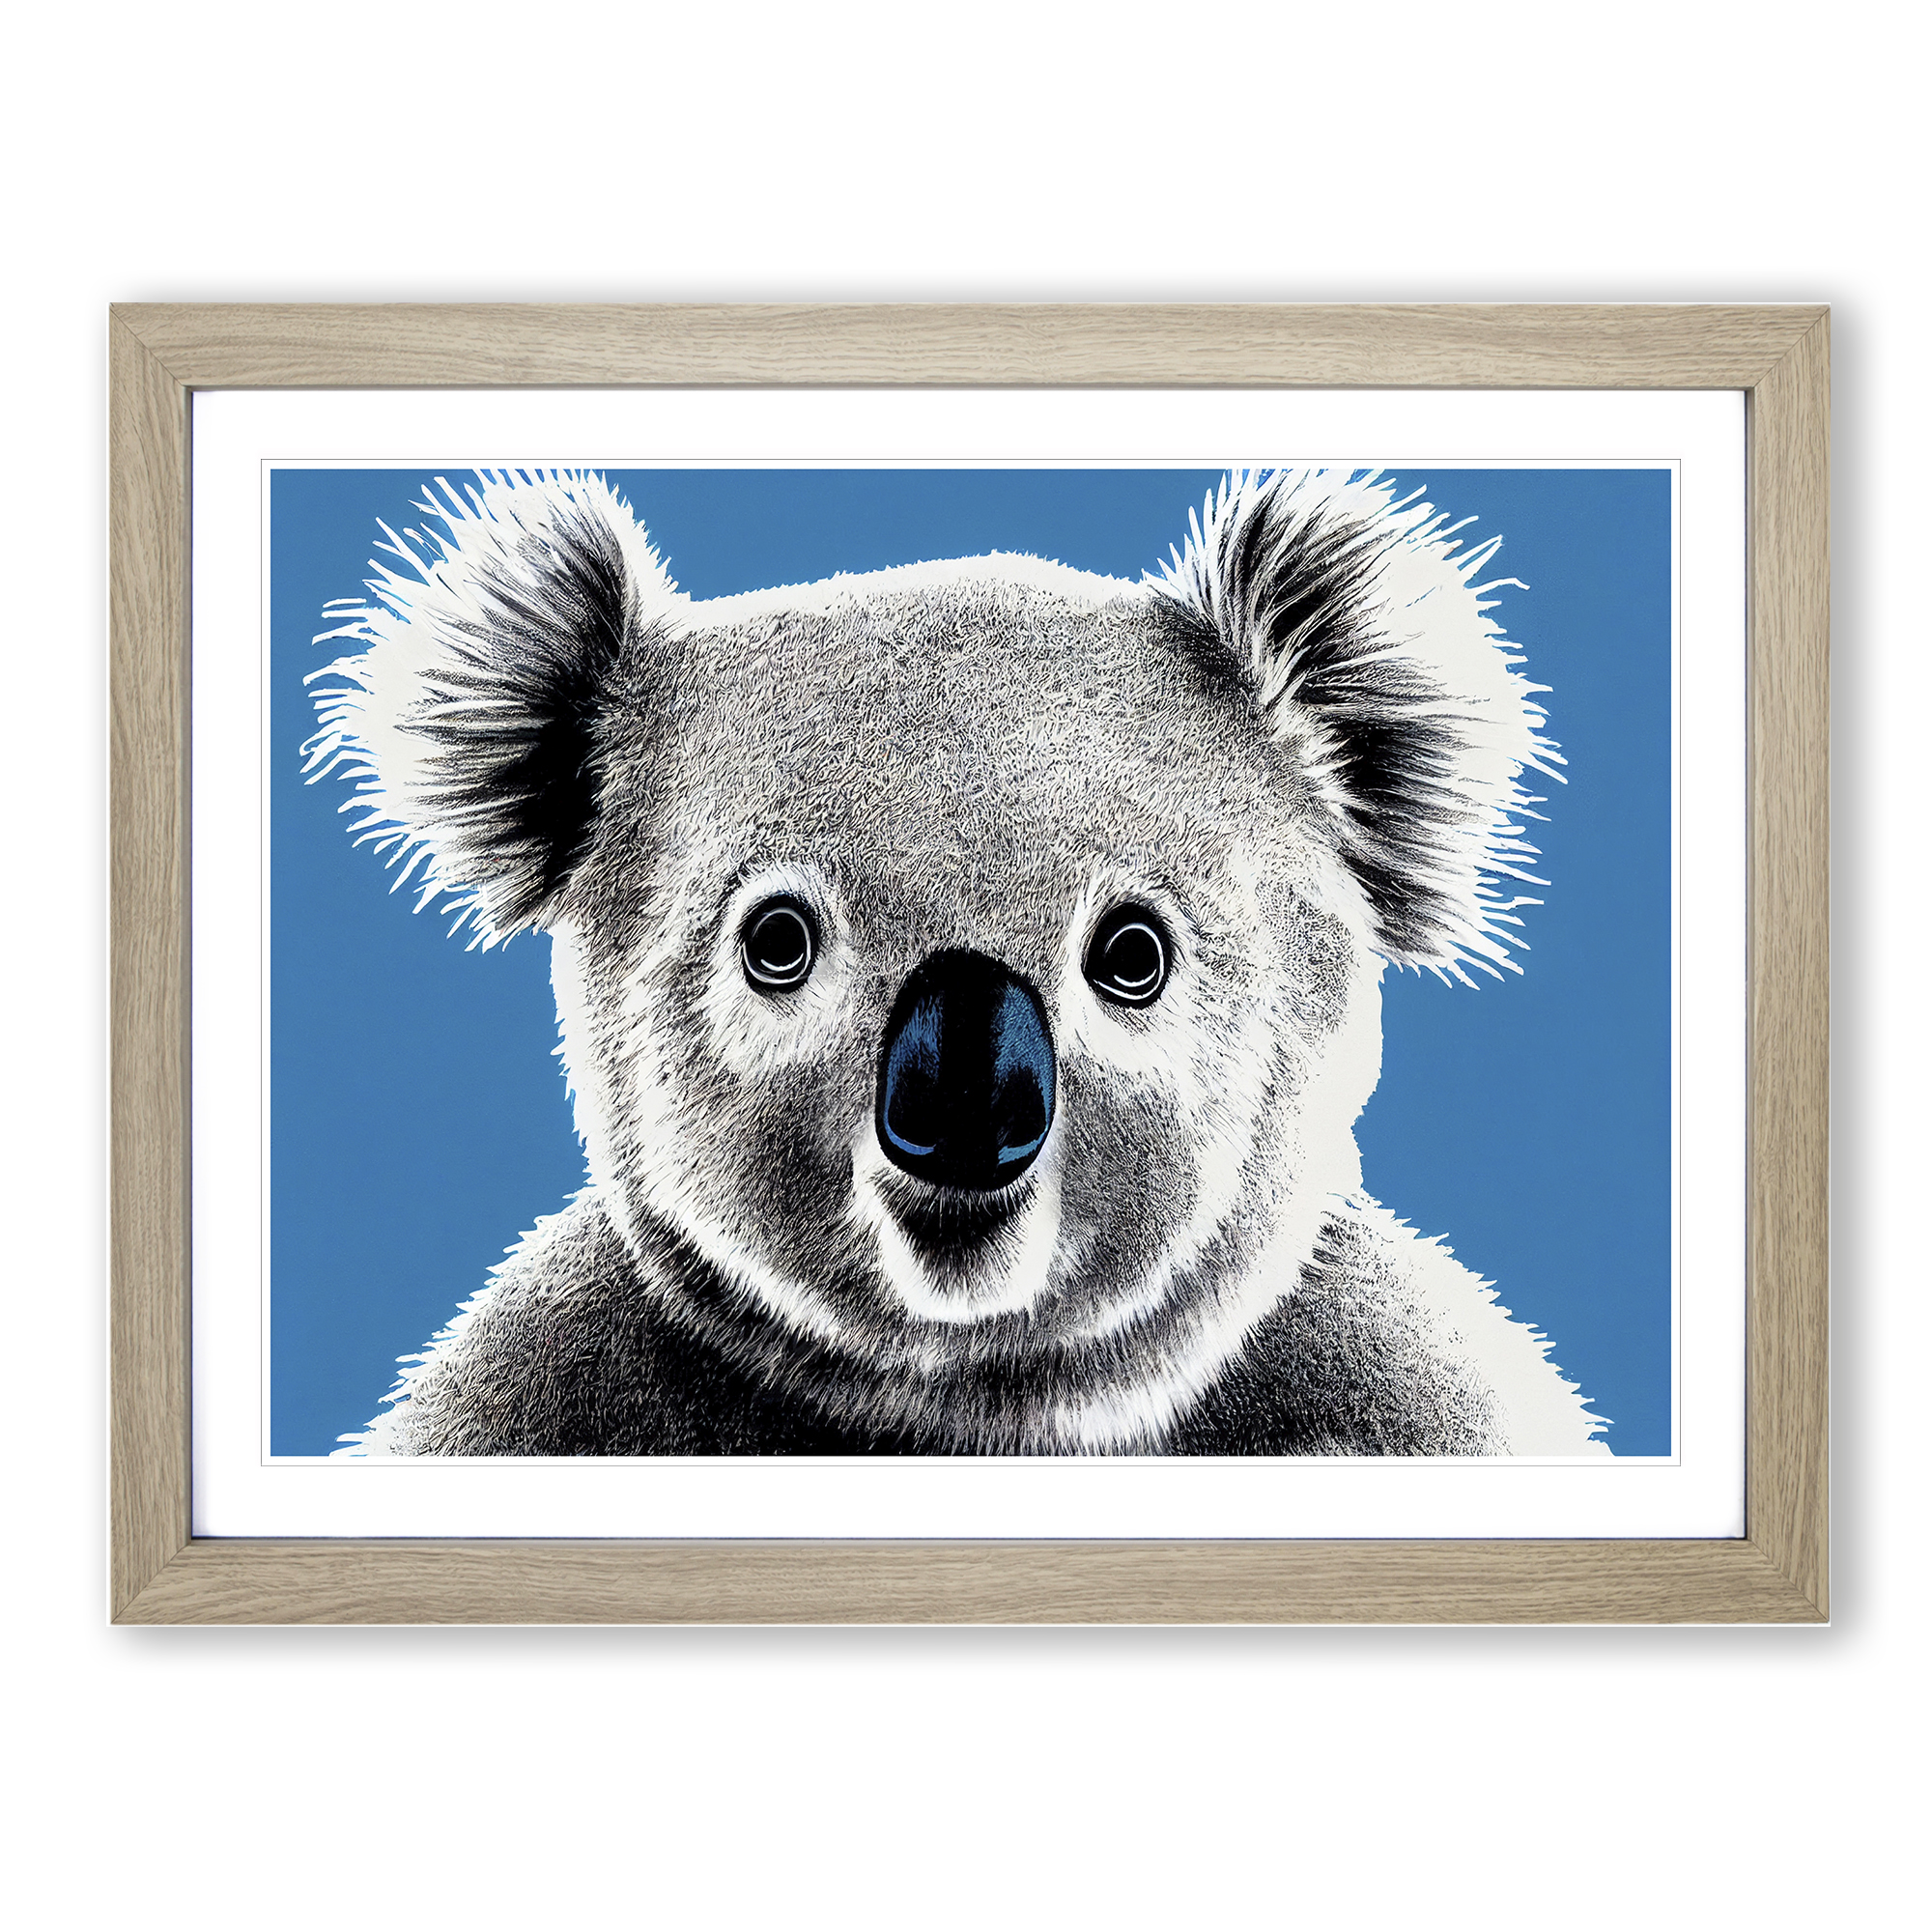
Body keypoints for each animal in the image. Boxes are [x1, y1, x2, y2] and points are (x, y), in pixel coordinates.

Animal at [306, 466, 1608, 1458]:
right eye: (775, 940)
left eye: (1132, 951)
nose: (968, 1103)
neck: (975, 1406)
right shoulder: (513, 1405)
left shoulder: (1429, 1398)